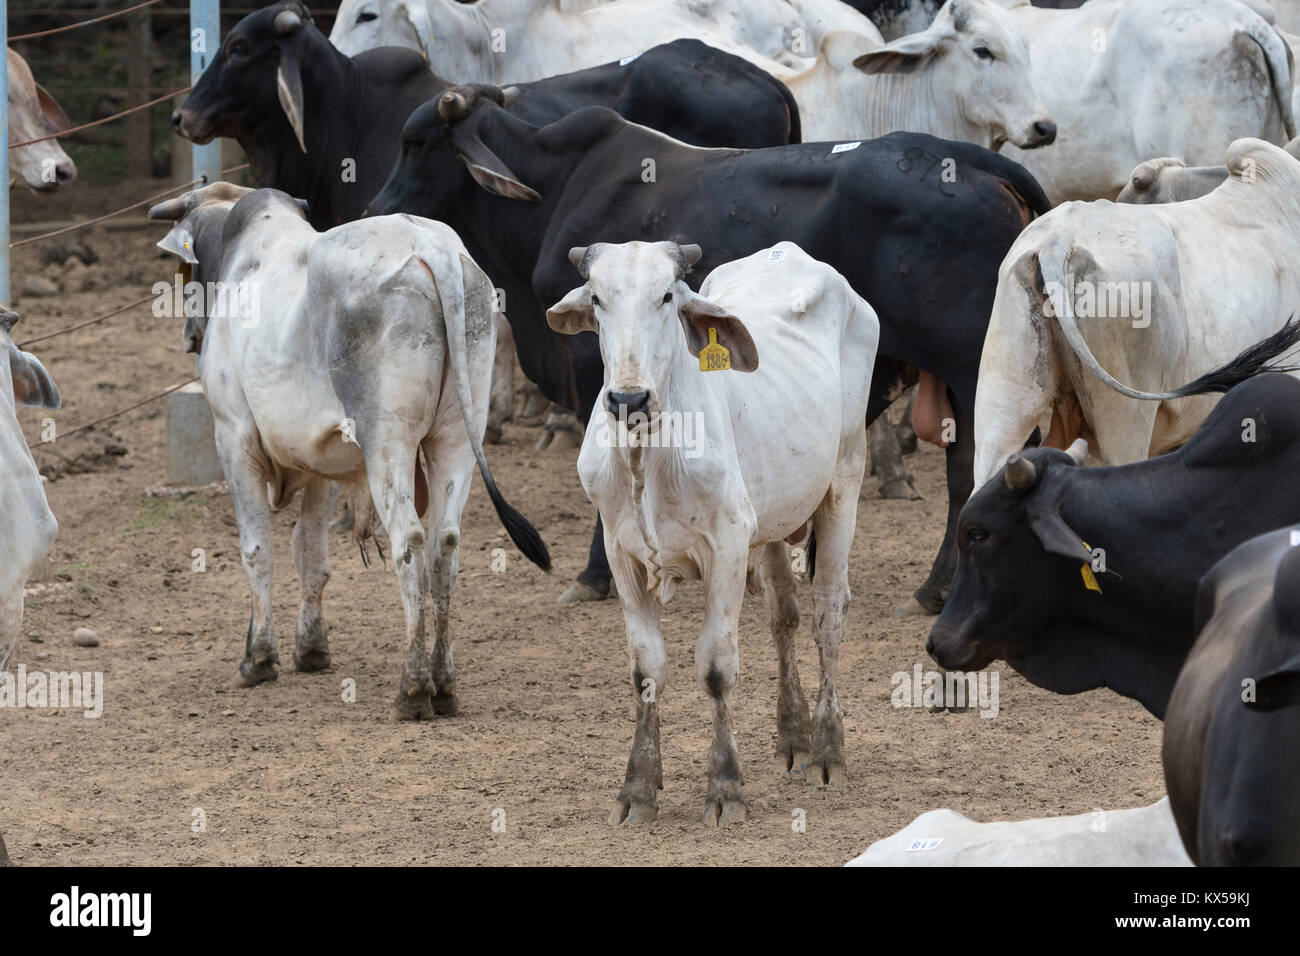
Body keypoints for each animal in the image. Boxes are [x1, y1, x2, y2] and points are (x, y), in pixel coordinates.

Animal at [148, 182, 549, 719]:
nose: (189, 335)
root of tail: (435, 247)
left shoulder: (233, 438)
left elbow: (258, 550)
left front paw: (259, 658)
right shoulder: (322, 461)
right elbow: (310, 553)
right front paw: (311, 649)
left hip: (388, 443)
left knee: (410, 543)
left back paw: (413, 688)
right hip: (456, 440)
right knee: (443, 546)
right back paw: (443, 685)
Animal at [366, 86, 1050, 611]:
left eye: (417, 143)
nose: (375, 207)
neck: (557, 188)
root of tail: (979, 160)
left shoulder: (598, 372)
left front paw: (594, 575)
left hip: (975, 368)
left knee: (977, 467)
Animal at [546, 241, 878, 823]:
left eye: (666, 296)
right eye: (597, 298)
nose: (627, 399)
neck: (649, 456)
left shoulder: (726, 546)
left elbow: (718, 667)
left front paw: (725, 787)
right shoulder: (620, 553)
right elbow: (646, 669)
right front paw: (637, 788)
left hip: (845, 479)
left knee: (828, 616)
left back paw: (826, 752)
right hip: (771, 524)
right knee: (784, 617)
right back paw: (792, 739)